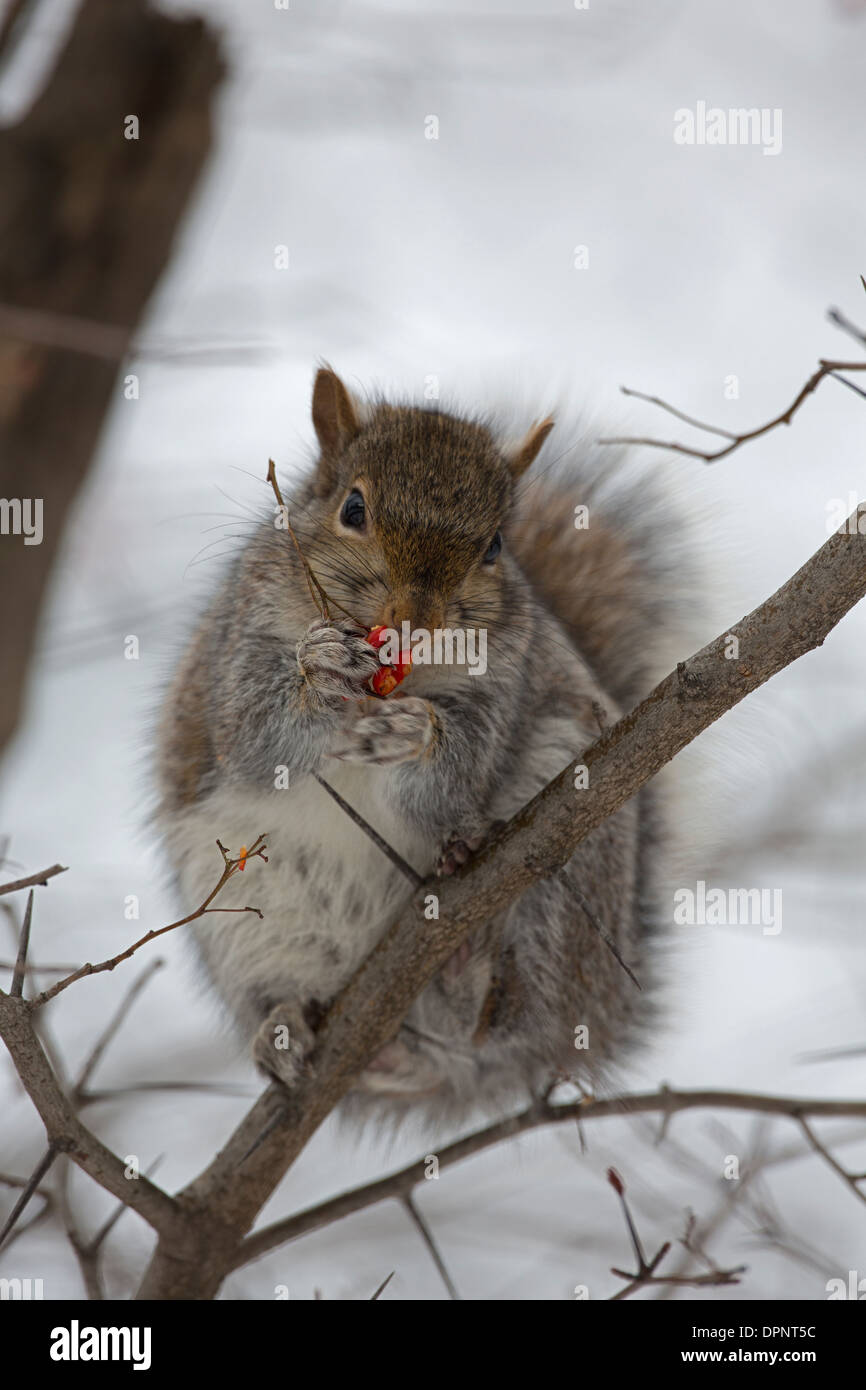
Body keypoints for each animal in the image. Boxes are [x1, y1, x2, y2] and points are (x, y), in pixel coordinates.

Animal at [155, 367, 687, 1125]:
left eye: (495, 546)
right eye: (353, 508)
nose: (415, 618)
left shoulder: (505, 683)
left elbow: (460, 764)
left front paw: (416, 734)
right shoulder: (237, 645)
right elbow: (252, 737)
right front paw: (318, 673)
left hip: (573, 877)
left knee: (502, 1026)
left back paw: (468, 970)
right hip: (242, 924)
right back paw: (295, 1032)